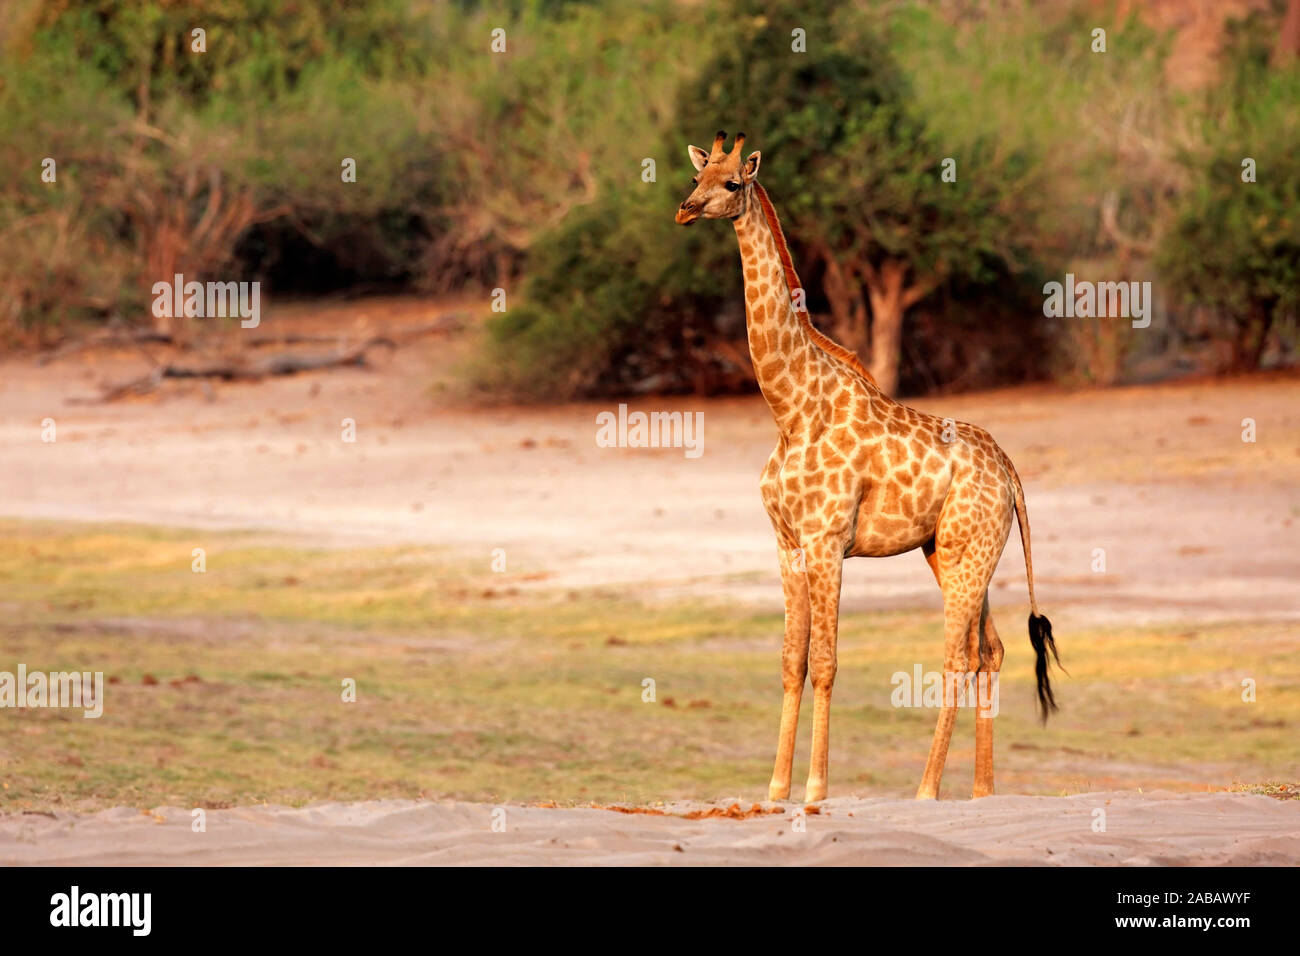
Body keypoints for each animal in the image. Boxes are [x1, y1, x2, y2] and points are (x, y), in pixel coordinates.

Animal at [676, 131, 1060, 803]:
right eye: (697, 175)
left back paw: (927, 790)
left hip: (964, 556)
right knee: (991, 649)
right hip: (955, 552)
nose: (686, 209)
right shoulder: (788, 543)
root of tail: (1011, 473)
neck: (791, 407)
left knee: (957, 657)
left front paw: (815, 788)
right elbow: (791, 661)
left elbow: (826, 663)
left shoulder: (829, 540)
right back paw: (981, 792)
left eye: (732, 183)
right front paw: (775, 788)